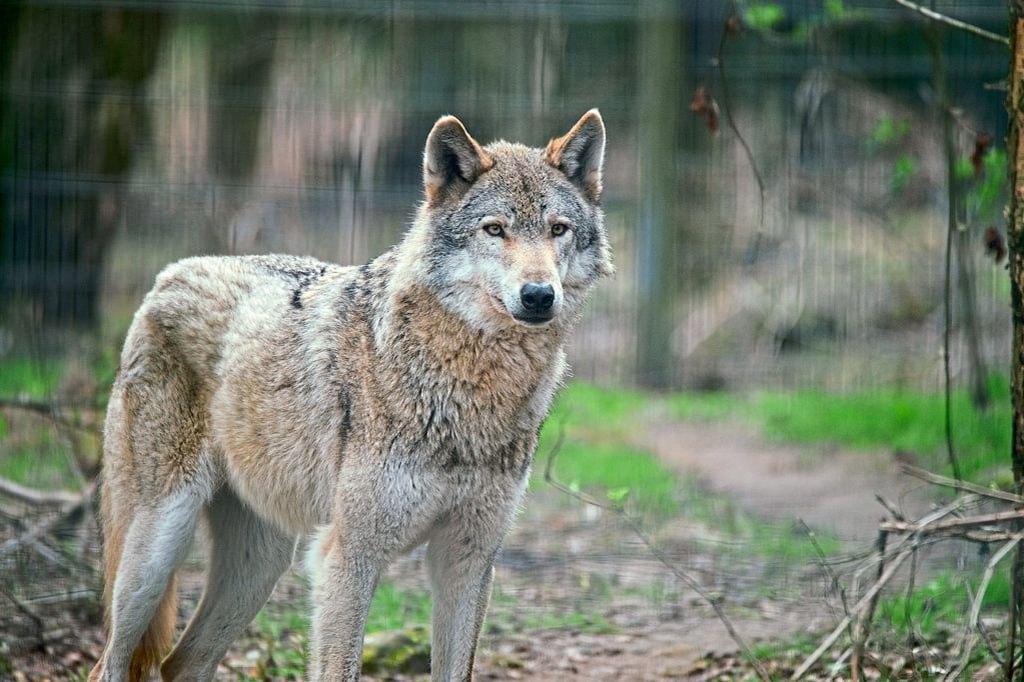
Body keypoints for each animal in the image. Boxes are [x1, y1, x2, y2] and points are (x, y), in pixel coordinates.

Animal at [88, 110, 612, 681]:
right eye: (495, 229)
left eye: (557, 229)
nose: (539, 296)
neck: (468, 386)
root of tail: (167, 277)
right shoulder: (348, 557)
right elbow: (340, 666)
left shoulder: (468, 560)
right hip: (157, 548)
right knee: (108, 663)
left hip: (262, 564)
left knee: (180, 663)